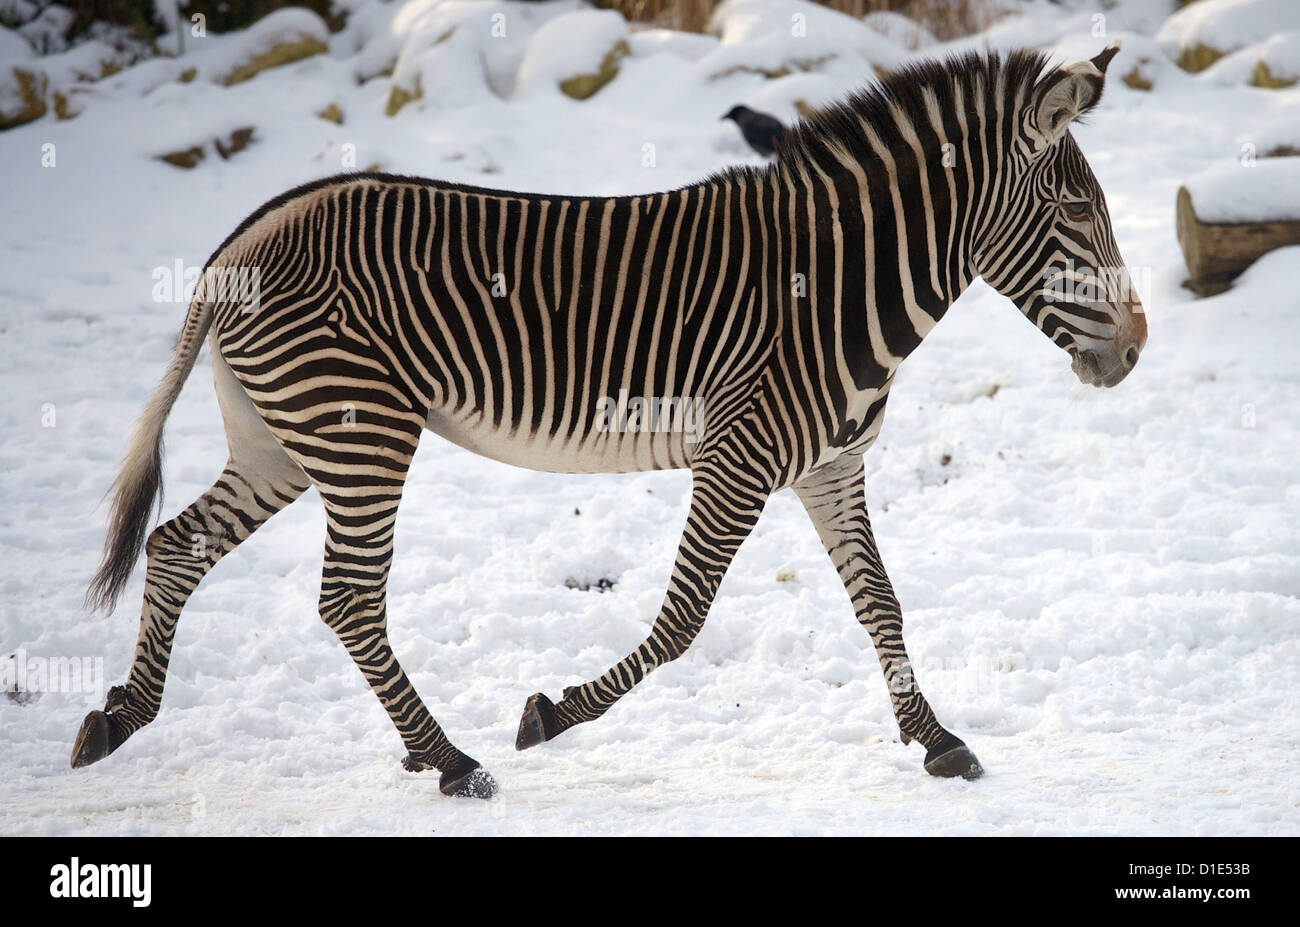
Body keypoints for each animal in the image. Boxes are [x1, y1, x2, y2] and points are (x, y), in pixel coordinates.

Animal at [74, 43, 1146, 798]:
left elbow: (881, 601)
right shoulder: (742, 454)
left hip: (282, 440)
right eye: (1075, 214)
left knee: (176, 543)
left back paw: (120, 715)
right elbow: (683, 619)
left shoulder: (830, 463)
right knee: (345, 598)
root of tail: (241, 241)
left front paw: (939, 741)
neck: (837, 287)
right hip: (359, 431)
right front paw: (551, 712)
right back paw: (451, 759)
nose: (1136, 350)